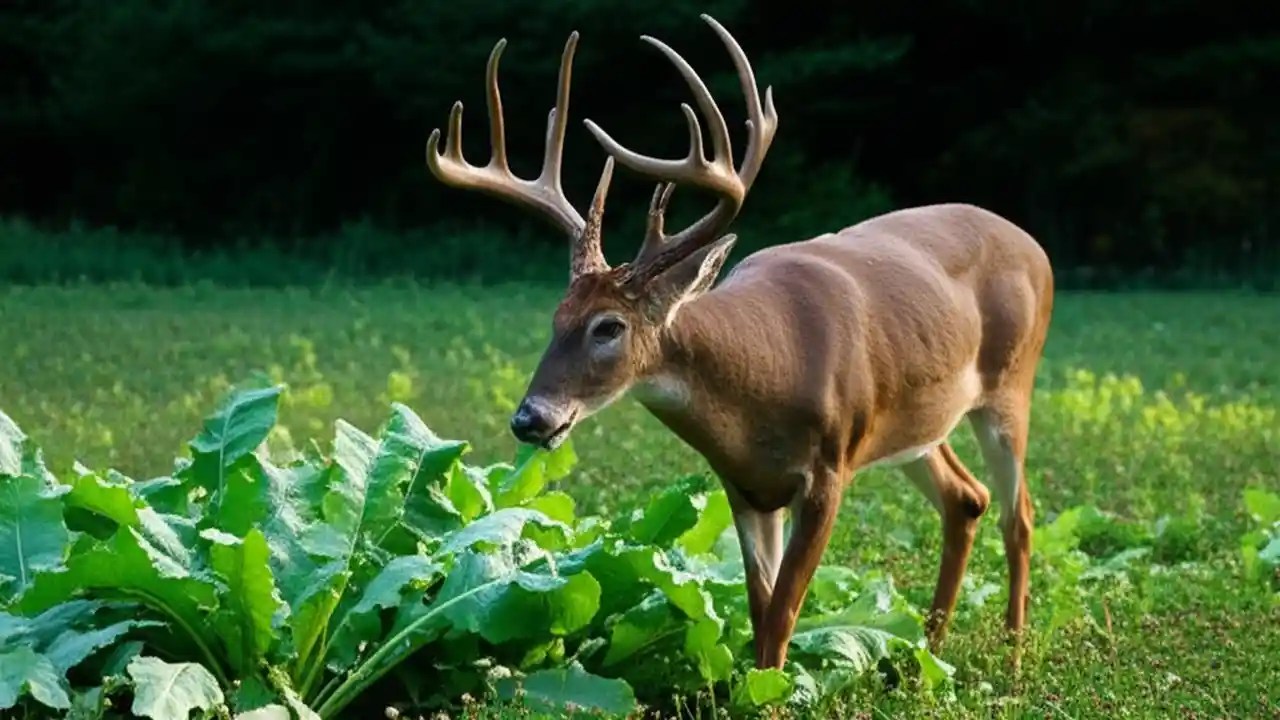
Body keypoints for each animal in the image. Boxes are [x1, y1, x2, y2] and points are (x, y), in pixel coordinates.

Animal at [424, 14, 1054, 671]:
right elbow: (759, 613)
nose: (530, 419)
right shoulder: (744, 484)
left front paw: (774, 688)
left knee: (1020, 514)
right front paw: (758, 684)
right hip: (913, 423)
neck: (763, 385)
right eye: (556, 316)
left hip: (1010, 386)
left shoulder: (828, 471)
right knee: (967, 499)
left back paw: (1012, 656)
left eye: (608, 326)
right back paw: (925, 654)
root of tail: (1035, 247)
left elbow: (782, 617)